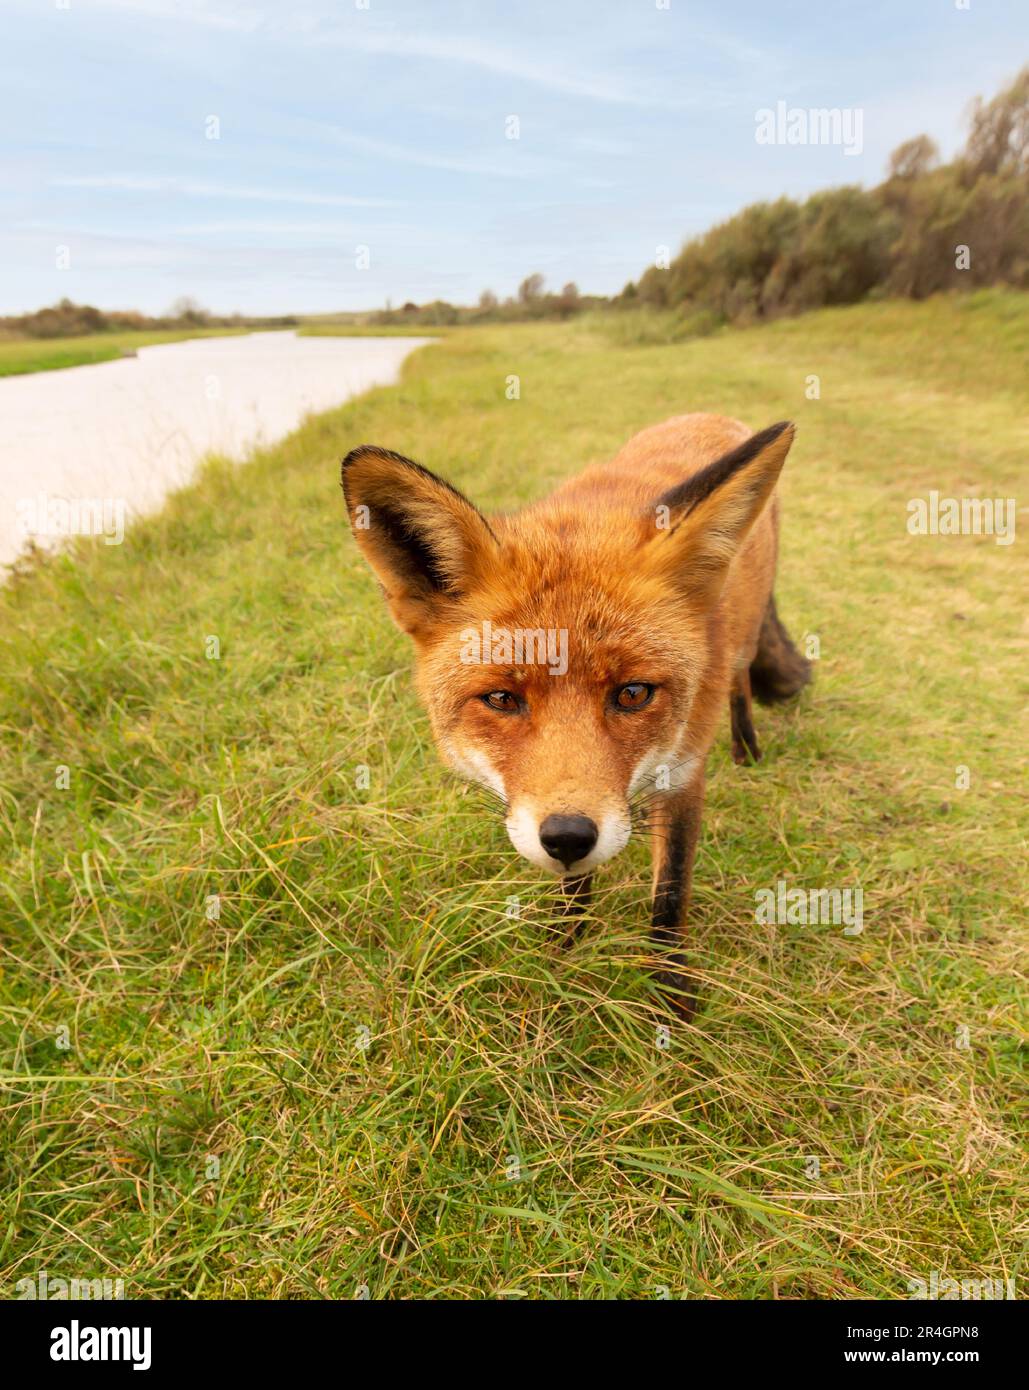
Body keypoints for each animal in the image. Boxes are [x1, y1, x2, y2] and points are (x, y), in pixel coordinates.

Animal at [341, 413, 811, 1017]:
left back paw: (747, 746)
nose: (567, 837)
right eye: (502, 699)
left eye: (632, 693)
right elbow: (574, 891)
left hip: (743, 641)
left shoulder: (683, 773)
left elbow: (671, 892)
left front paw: (669, 990)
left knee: (741, 681)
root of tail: (710, 414)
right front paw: (564, 949)